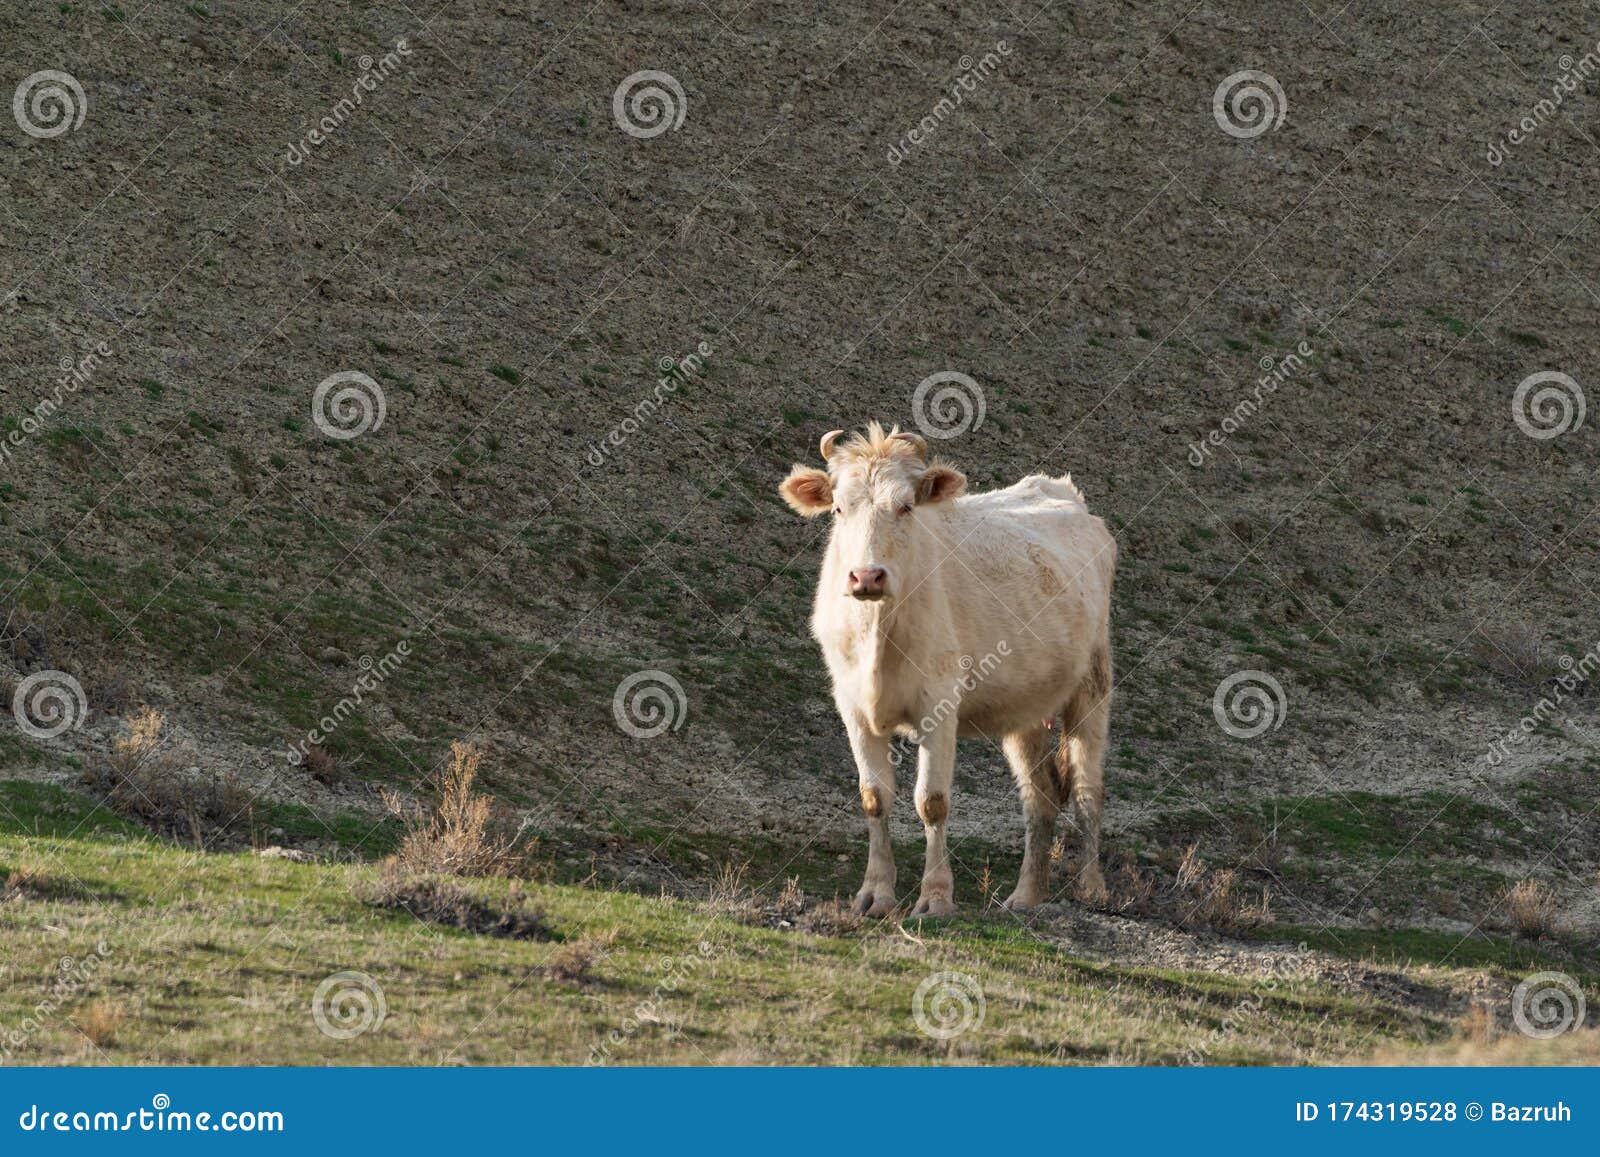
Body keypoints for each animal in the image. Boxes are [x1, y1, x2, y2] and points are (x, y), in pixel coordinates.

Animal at [779, 423, 1116, 917]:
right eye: (839, 508)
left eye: (906, 506)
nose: (866, 577)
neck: (878, 631)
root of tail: (1062, 491)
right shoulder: (851, 705)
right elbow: (873, 797)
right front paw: (875, 894)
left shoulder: (938, 702)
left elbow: (931, 802)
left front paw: (936, 898)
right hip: (1026, 705)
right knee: (1040, 795)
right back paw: (1026, 895)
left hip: (1093, 683)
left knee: (1088, 788)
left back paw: (1092, 887)